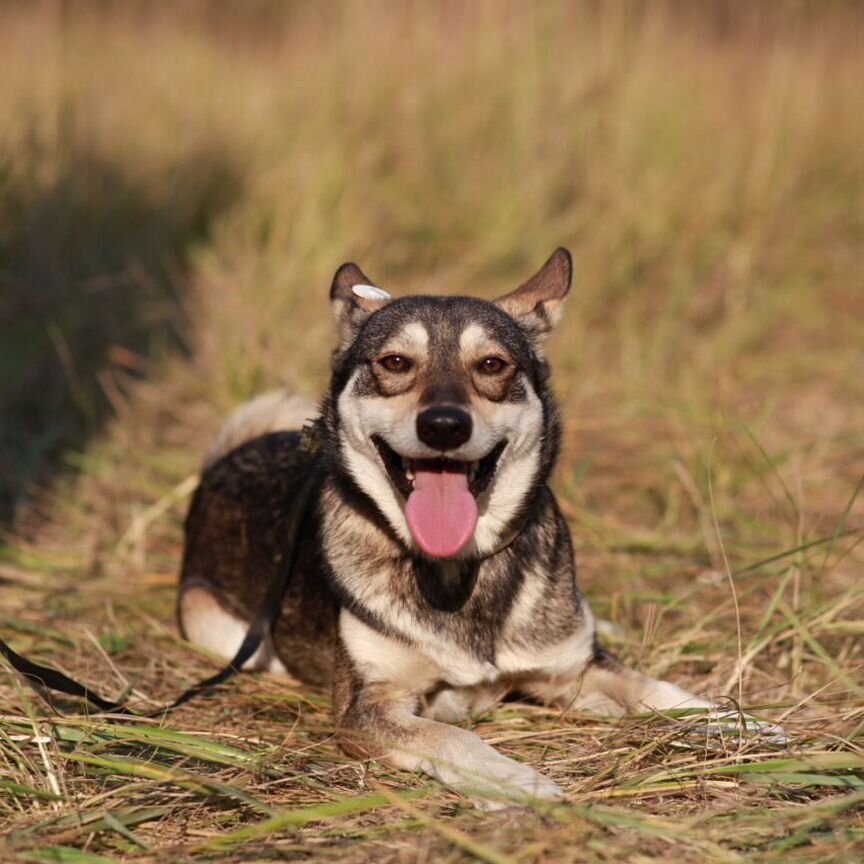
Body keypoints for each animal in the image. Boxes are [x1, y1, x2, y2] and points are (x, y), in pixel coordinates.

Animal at [176, 250, 716, 804]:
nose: (443, 426)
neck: (458, 567)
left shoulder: (573, 669)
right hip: (210, 621)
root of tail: (228, 457)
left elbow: (657, 690)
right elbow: (451, 736)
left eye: (492, 364)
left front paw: (729, 720)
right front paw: (515, 783)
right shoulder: (366, 707)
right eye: (395, 362)